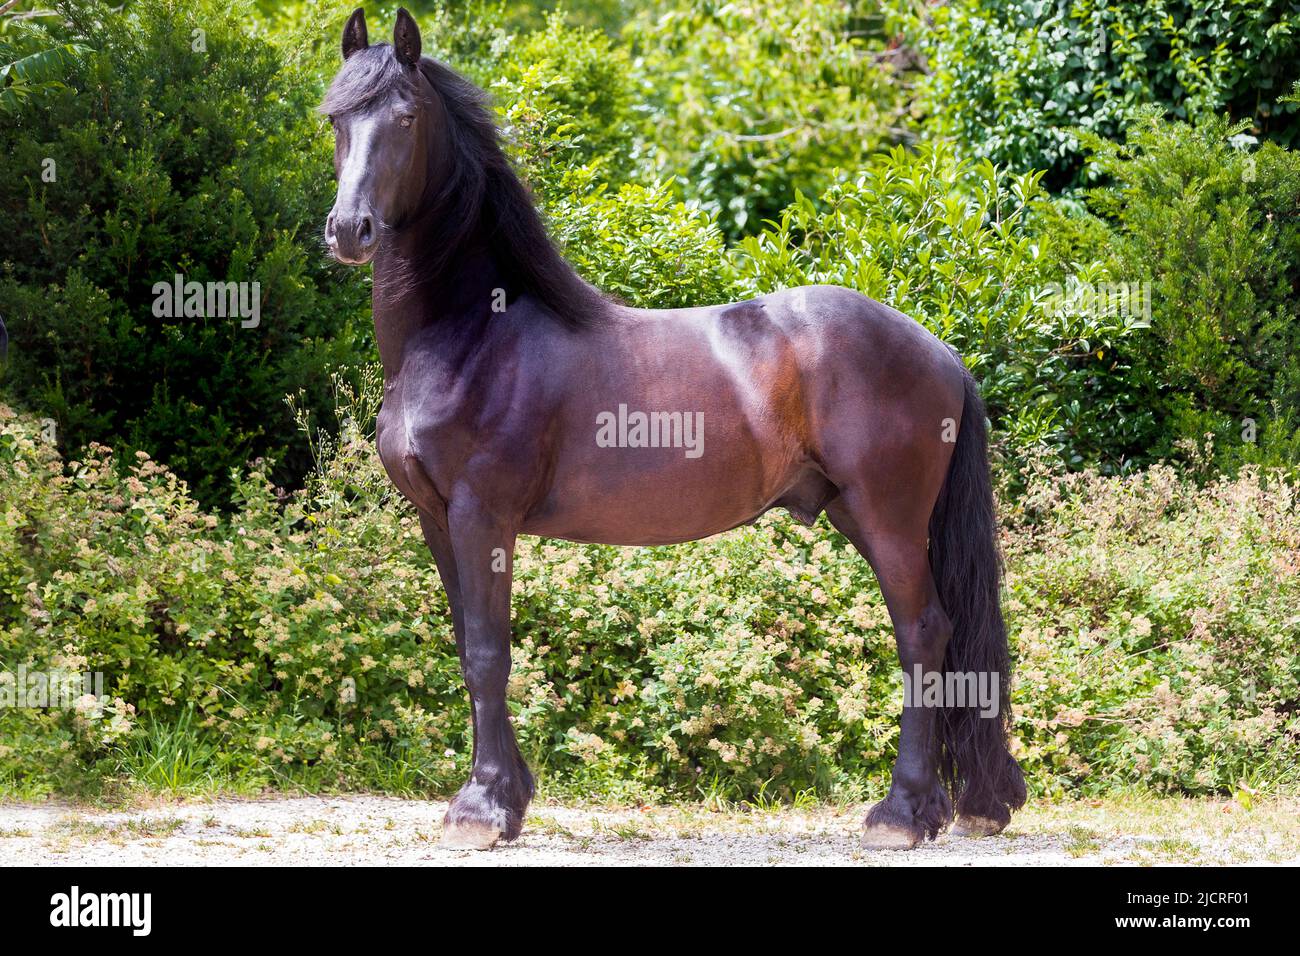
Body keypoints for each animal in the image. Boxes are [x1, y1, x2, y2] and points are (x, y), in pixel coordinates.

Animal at [321, 7, 1025, 850]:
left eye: (405, 117)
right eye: (336, 119)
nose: (349, 229)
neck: (474, 333)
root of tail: (939, 350)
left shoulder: (480, 515)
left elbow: (488, 652)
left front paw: (481, 809)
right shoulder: (436, 518)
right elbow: (468, 645)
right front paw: (511, 796)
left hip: (886, 517)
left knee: (921, 632)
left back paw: (900, 813)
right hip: (855, 512)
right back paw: (942, 808)